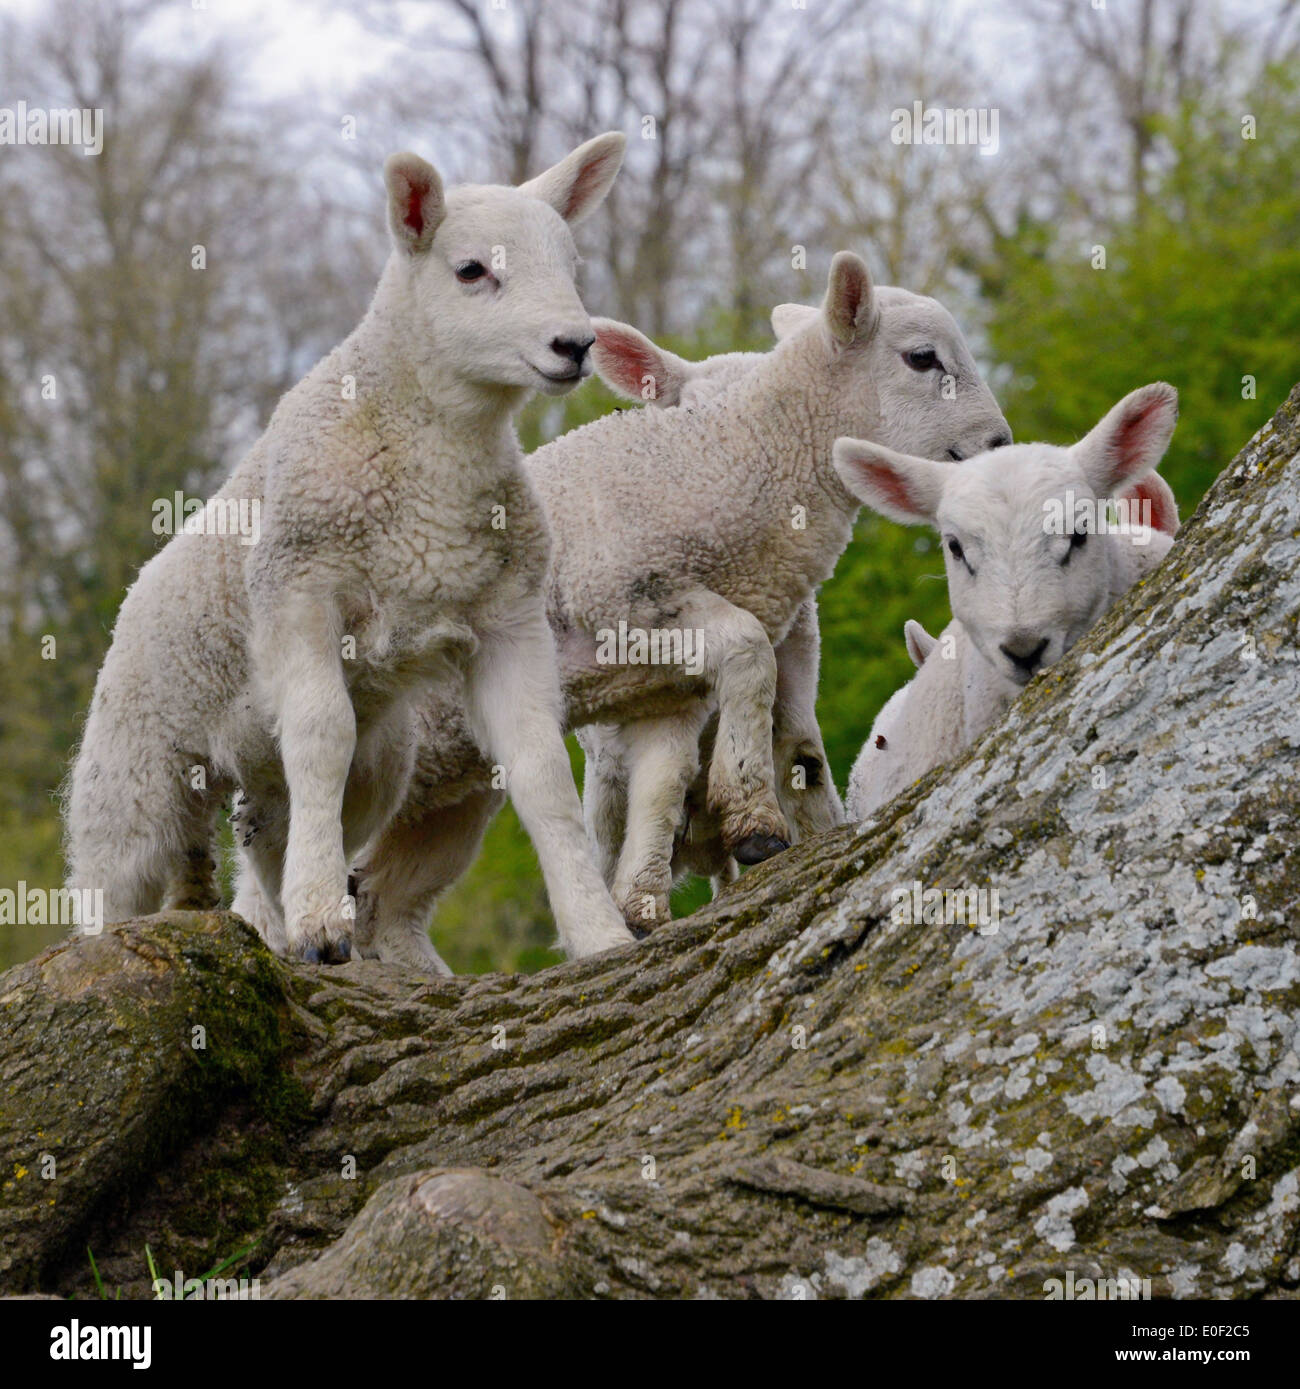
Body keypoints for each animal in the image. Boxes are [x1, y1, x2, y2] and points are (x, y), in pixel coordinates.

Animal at [63, 132, 637, 966]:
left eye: (570, 264)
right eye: (472, 270)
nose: (575, 344)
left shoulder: (508, 614)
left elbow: (539, 770)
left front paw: (600, 932)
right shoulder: (299, 590)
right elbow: (320, 736)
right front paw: (319, 918)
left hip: (379, 759)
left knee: (274, 835)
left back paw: (293, 936)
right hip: (132, 772)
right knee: (111, 882)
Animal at [351, 253, 1012, 957]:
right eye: (922, 358)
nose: (1000, 443)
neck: (730, 461)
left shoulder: (663, 683)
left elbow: (669, 780)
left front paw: (644, 906)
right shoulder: (622, 601)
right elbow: (749, 652)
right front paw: (753, 820)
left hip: (439, 788)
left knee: (385, 901)